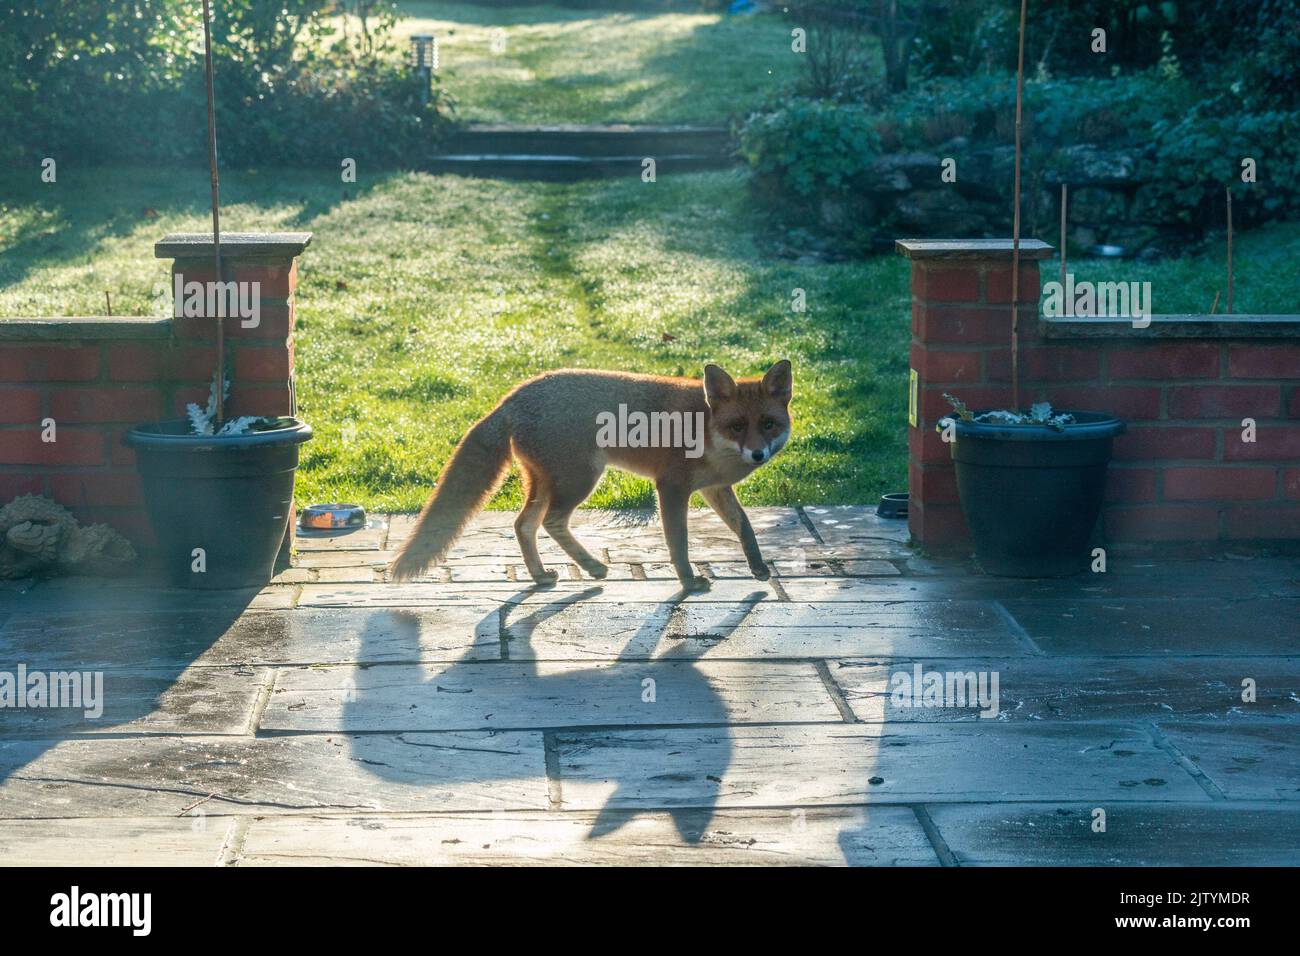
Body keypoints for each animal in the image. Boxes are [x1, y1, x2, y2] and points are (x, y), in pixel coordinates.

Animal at [389, 360, 793, 592]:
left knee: (523, 524)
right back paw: (592, 567)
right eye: (737, 426)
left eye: (768, 424)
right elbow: (678, 542)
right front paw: (689, 581)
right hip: (580, 480)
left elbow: (745, 528)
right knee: (550, 522)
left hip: (546, 483)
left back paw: (541, 576)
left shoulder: (714, 489)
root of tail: (510, 398)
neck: (706, 431)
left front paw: (759, 568)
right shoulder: (671, 487)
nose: (757, 454)